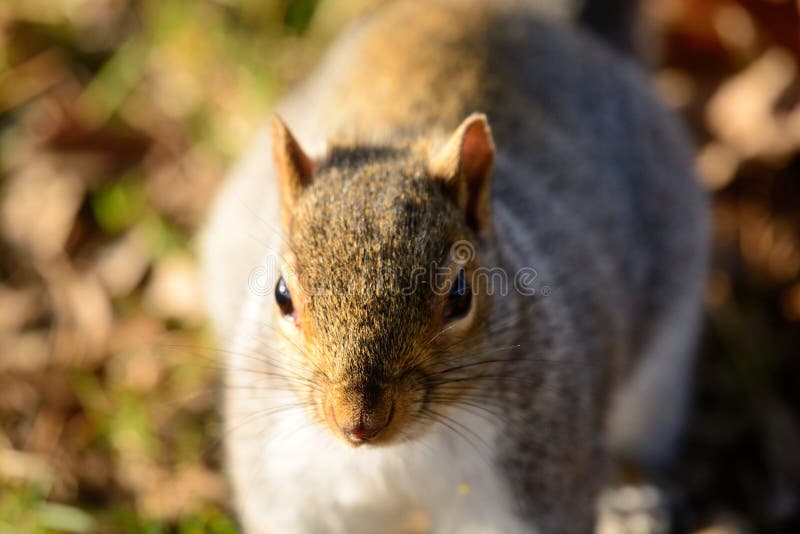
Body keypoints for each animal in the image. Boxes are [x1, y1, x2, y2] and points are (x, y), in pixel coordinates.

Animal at [201, 0, 709, 532]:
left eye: (461, 296)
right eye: (282, 295)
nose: (359, 422)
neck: (393, 459)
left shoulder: (529, 484)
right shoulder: (292, 487)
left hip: (662, 360)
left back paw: (633, 498)